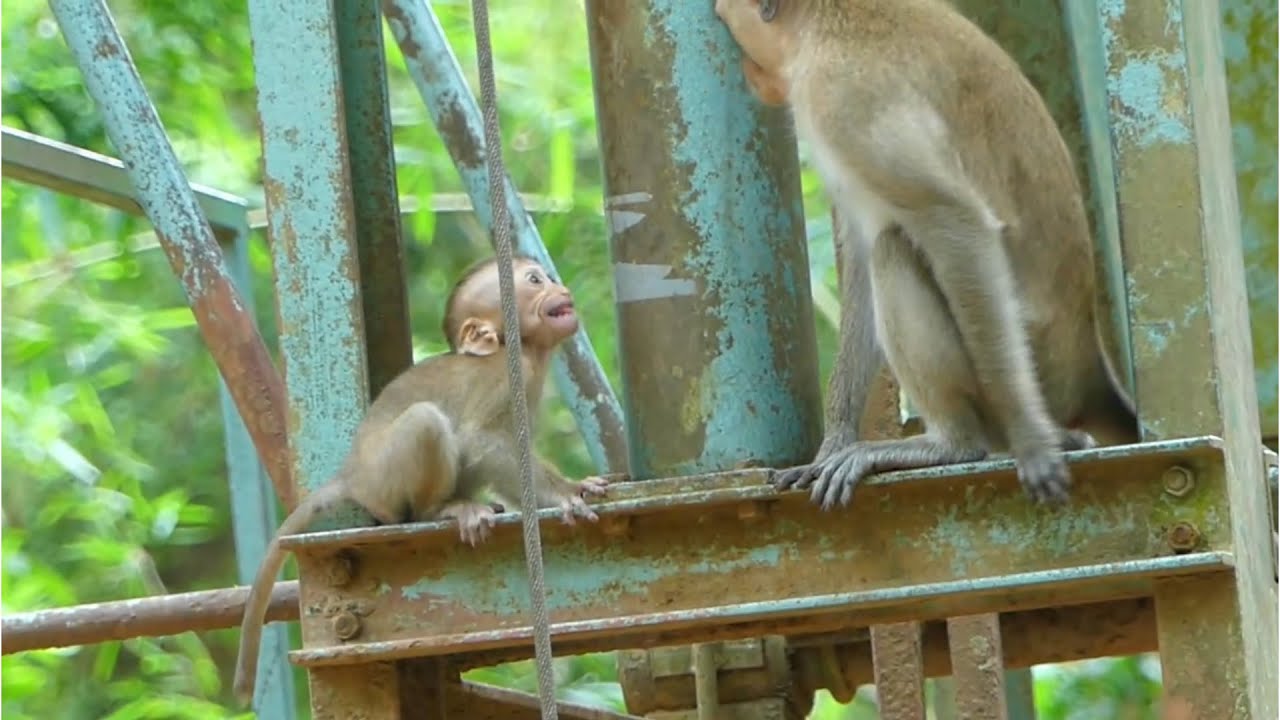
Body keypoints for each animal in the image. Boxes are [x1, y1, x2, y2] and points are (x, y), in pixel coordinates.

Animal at [231, 255, 610, 706]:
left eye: (547, 276)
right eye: (535, 280)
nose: (559, 288)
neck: (517, 348)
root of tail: (352, 474)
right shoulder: (503, 378)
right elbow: (483, 442)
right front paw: (564, 495)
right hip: (384, 478)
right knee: (426, 421)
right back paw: (443, 509)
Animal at [713, 0, 1139, 510]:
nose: (750, 71)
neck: (822, 23)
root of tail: (1087, 376)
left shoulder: (843, 98)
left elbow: (956, 222)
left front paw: (1032, 442)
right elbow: (860, 255)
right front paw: (832, 442)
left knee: (894, 249)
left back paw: (954, 443)